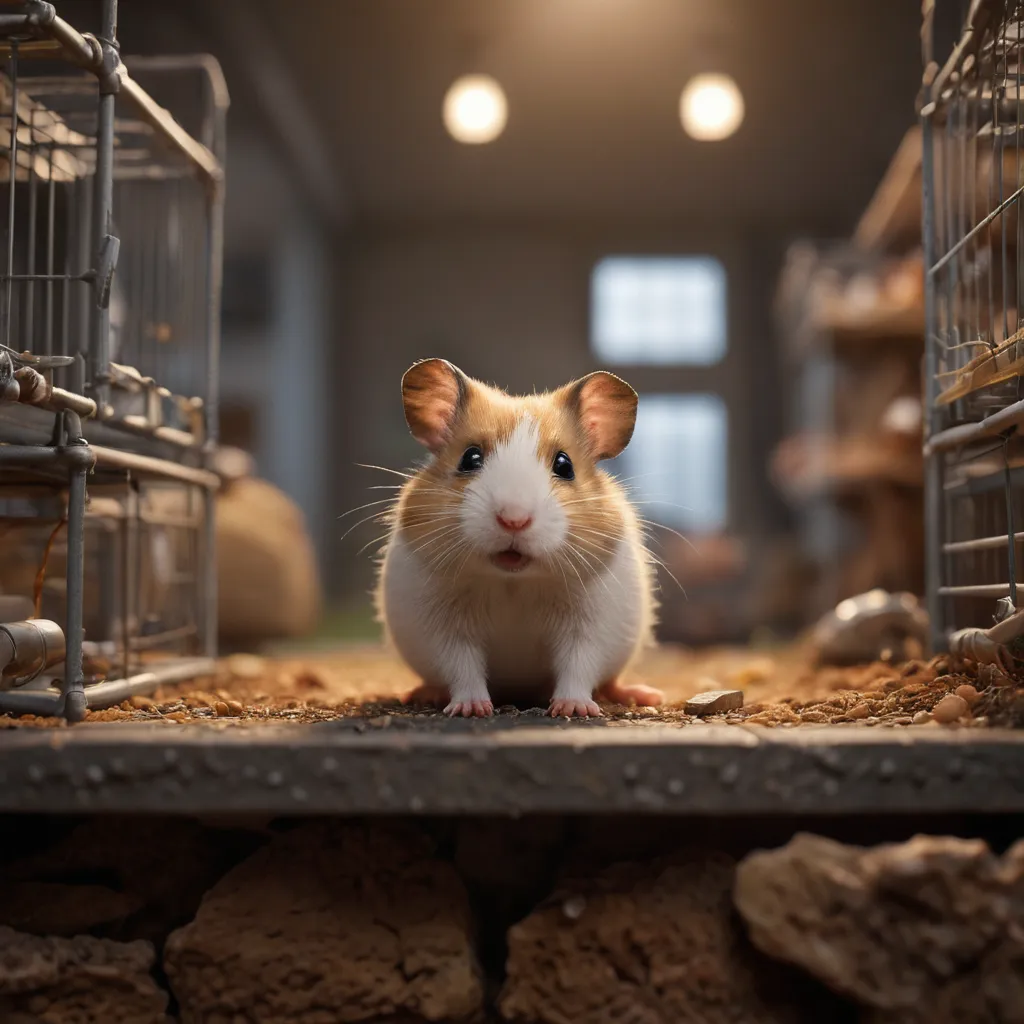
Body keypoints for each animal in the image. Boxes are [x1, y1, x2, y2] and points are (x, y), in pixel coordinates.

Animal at [375, 358, 664, 718]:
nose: (514, 519)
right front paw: (472, 709)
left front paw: (573, 709)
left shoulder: (589, 627)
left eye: (565, 465)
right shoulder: (446, 630)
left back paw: (645, 694)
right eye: (470, 458)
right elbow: (462, 668)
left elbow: (578, 666)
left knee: (608, 682)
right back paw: (420, 694)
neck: (514, 580)